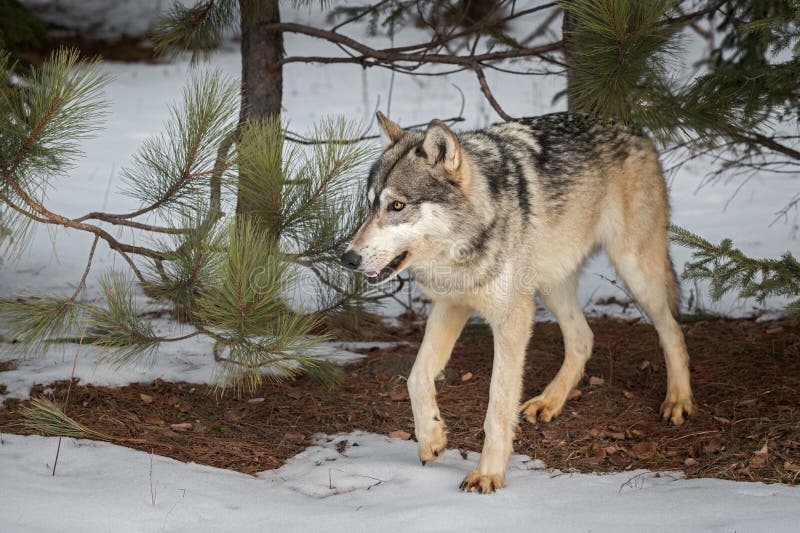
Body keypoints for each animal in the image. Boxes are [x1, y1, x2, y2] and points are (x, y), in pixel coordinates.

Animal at [341, 111, 694, 493]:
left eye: (397, 205)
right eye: (370, 205)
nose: (348, 258)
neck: (464, 245)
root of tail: (629, 125)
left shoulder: (512, 318)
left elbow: (497, 406)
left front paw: (488, 474)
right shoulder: (451, 305)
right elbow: (416, 377)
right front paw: (431, 438)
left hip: (634, 271)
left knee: (672, 330)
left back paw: (678, 400)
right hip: (551, 283)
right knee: (583, 338)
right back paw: (549, 402)